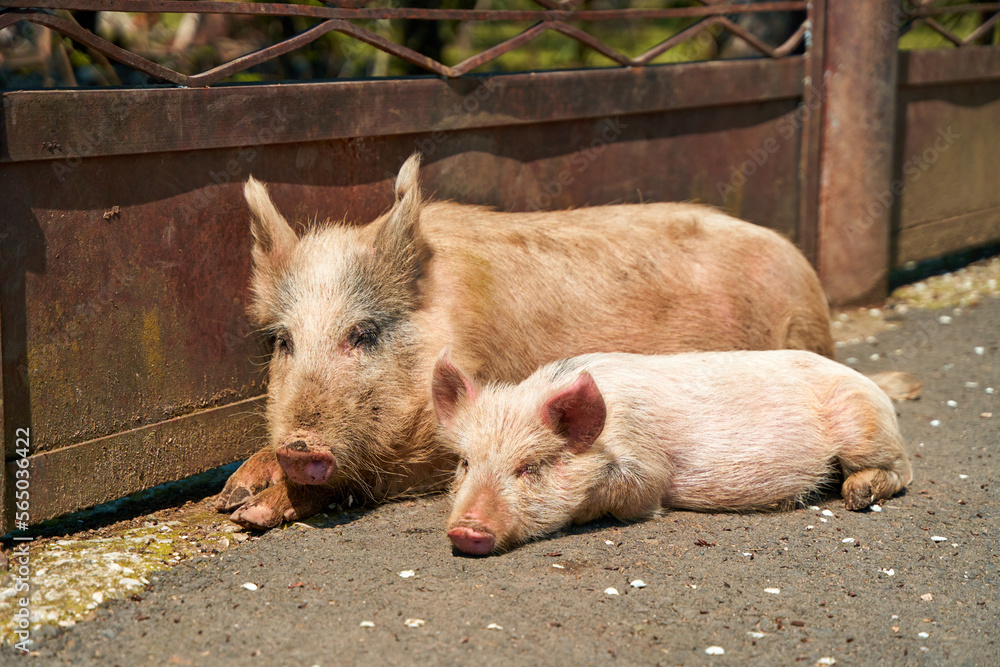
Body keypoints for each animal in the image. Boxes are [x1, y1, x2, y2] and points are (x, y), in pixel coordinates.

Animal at [434, 349, 912, 555]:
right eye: (465, 463)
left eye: (530, 467)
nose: (466, 531)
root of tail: (869, 383)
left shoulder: (646, 474)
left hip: (862, 426)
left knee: (903, 471)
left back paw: (857, 496)